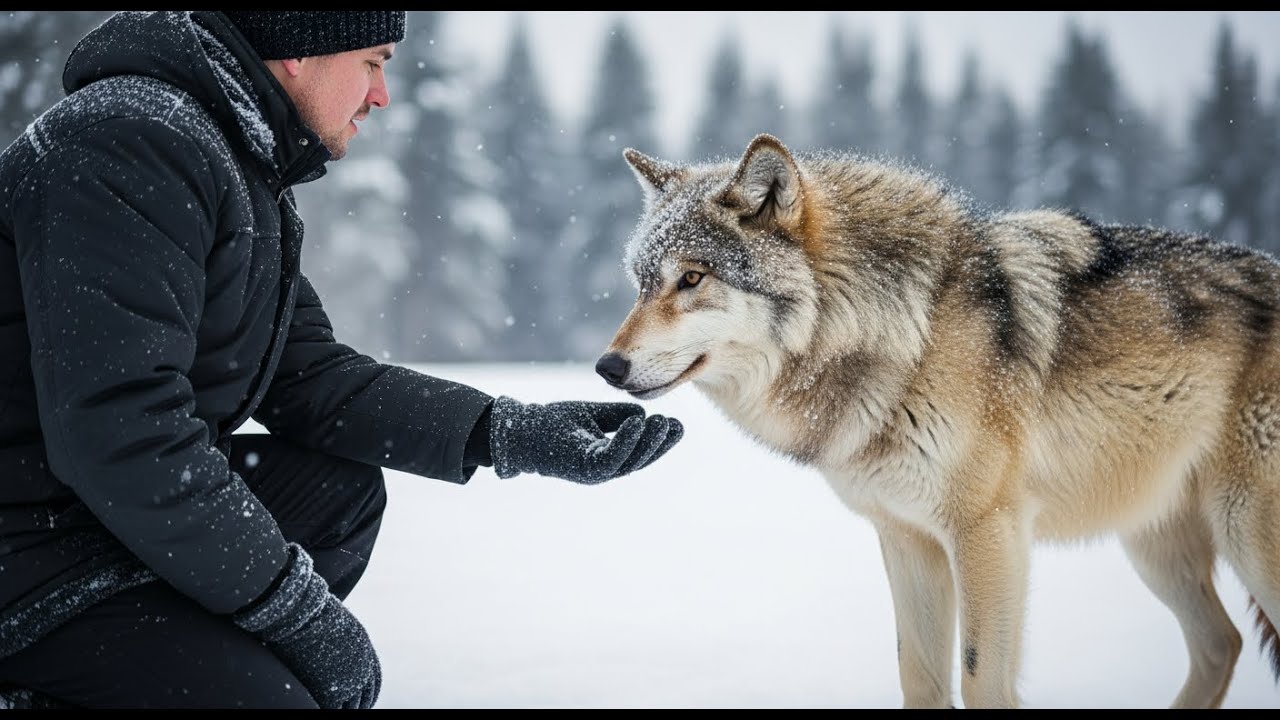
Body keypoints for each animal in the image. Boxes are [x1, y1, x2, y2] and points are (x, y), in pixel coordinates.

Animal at [594, 133, 1280, 708]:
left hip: (1242, 538)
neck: (909, 335)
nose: (606, 366)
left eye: (692, 278)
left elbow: (981, 683)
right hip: (1155, 545)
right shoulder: (907, 538)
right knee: (1222, 644)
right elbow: (919, 679)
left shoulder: (988, 533)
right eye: (641, 282)